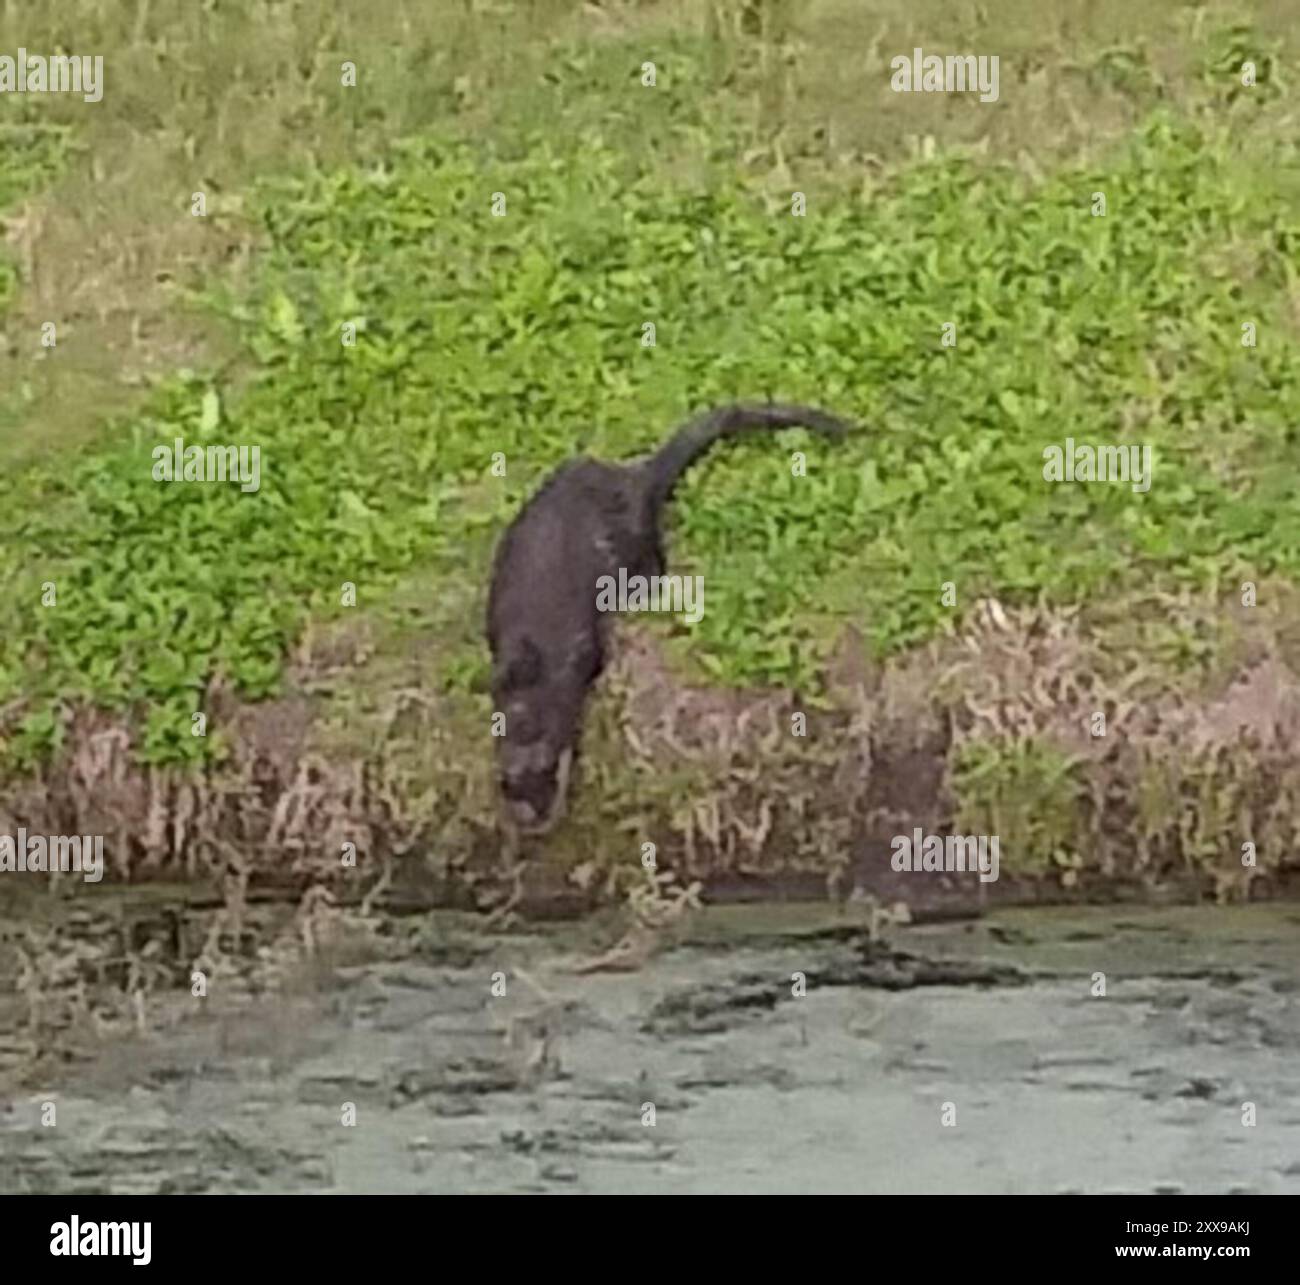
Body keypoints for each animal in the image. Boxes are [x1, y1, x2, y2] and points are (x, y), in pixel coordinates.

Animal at [487, 402, 853, 833]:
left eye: (547, 769)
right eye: (507, 782)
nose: (533, 818)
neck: (532, 654)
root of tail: (633, 477)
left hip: (639, 540)